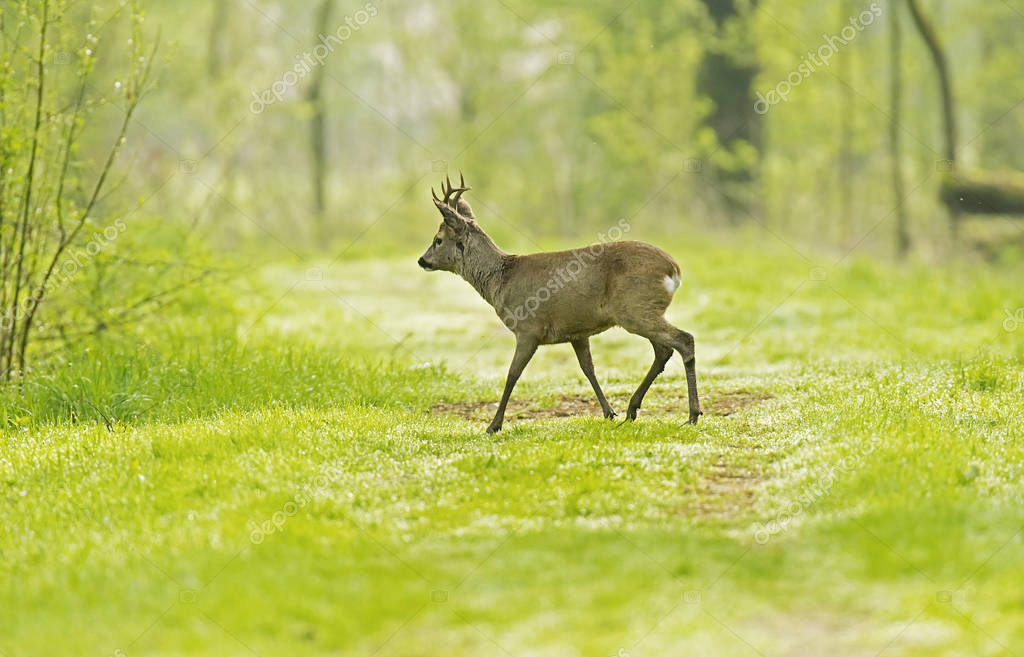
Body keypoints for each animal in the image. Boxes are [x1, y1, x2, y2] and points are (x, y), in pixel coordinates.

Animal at [418, 174, 701, 433]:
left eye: (437, 239)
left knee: (683, 340)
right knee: (663, 350)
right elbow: (588, 369)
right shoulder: (577, 331)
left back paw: (692, 415)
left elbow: (512, 375)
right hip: (641, 311)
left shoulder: (528, 329)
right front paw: (609, 412)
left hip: (635, 309)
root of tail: (673, 269)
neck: (501, 279)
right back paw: (632, 410)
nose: (422, 260)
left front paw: (493, 425)